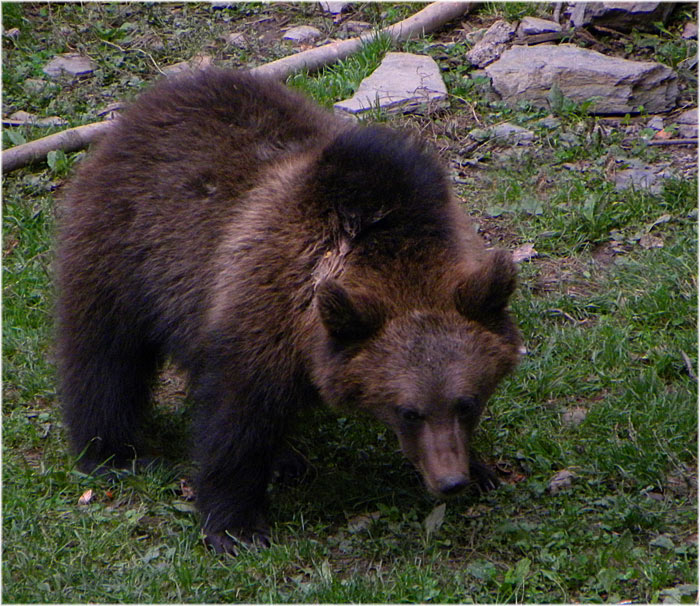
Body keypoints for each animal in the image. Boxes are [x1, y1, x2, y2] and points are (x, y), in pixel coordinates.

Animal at [55, 68, 522, 554]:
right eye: (408, 411)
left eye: (467, 402)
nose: (450, 481)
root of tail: (151, 99)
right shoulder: (265, 306)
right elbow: (237, 421)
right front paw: (236, 525)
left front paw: (484, 470)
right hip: (127, 249)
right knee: (105, 356)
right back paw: (114, 452)